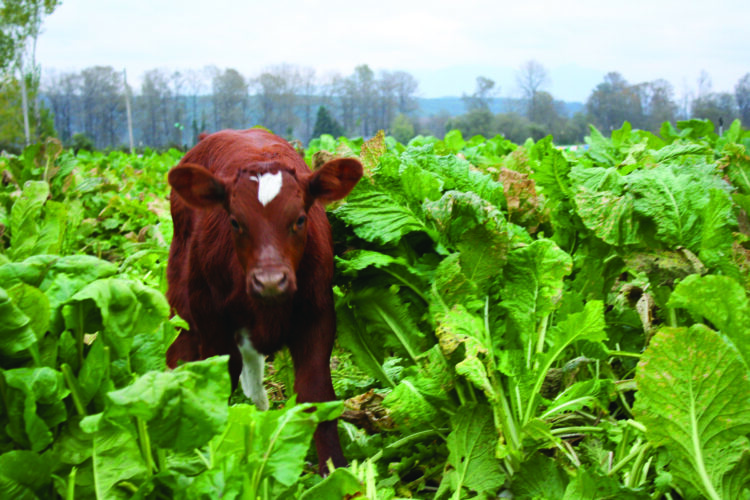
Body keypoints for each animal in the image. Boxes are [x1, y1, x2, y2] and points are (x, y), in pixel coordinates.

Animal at [165, 128, 362, 473]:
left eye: (300, 219)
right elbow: (219, 386)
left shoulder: (318, 317)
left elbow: (317, 395)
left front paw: (336, 470)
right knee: (179, 354)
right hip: (183, 303)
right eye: (235, 221)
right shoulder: (213, 325)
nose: (270, 281)